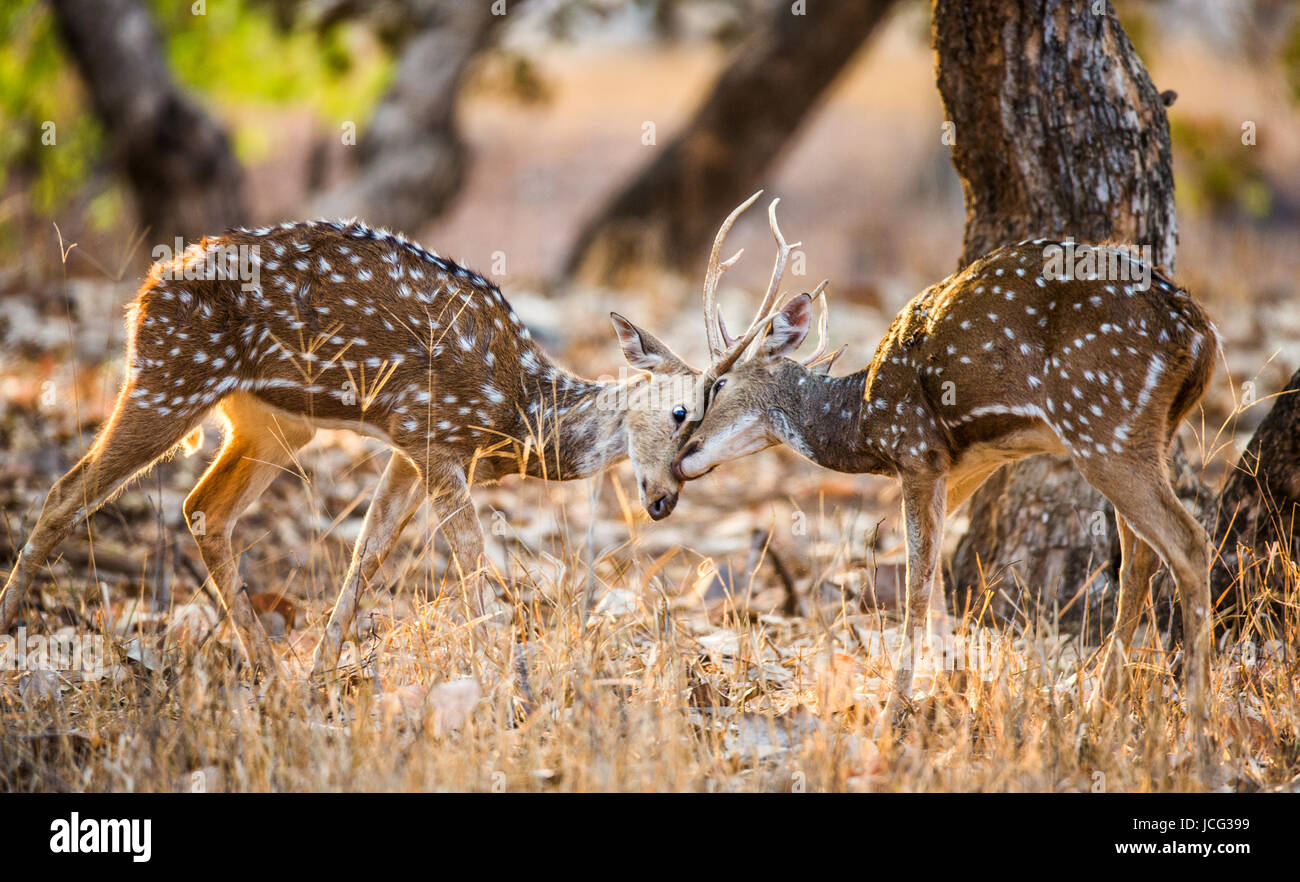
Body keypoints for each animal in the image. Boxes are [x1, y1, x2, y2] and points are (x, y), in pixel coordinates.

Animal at [0, 219, 709, 682]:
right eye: (682, 413)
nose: (664, 500)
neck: (519, 411)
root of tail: (144, 290)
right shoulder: (435, 431)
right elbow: (472, 562)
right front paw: (511, 685)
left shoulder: (409, 444)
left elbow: (365, 556)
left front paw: (321, 681)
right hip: (170, 375)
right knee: (67, 491)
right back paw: (13, 634)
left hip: (271, 422)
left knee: (203, 508)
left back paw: (271, 677)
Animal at [669, 195, 1219, 740]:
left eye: (718, 385)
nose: (679, 457)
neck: (863, 420)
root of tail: (1201, 336)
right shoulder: (966, 465)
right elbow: (935, 577)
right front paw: (952, 691)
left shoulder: (916, 451)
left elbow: (915, 581)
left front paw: (893, 712)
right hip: (1141, 431)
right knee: (1141, 559)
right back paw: (1102, 705)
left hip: (1103, 420)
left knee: (1188, 542)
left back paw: (1197, 730)